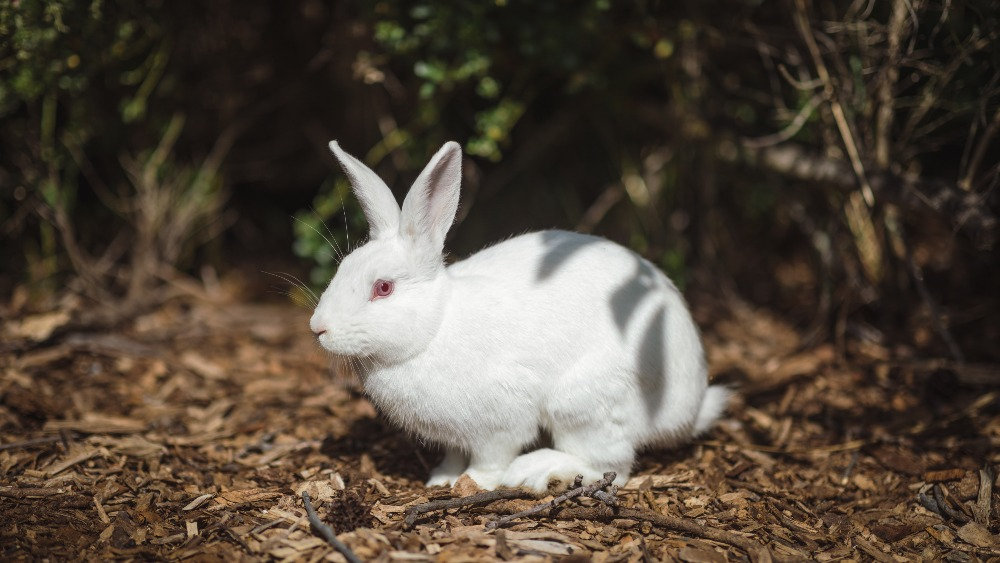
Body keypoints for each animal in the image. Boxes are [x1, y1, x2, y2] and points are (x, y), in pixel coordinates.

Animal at [310, 140, 730, 492]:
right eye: (343, 267)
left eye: (383, 288)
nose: (318, 328)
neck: (435, 329)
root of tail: (689, 408)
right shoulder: (454, 437)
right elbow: (453, 455)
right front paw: (441, 479)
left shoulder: (500, 423)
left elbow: (490, 459)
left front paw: (473, 483)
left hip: (585, 405)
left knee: (611, 467)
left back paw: (535, 470)